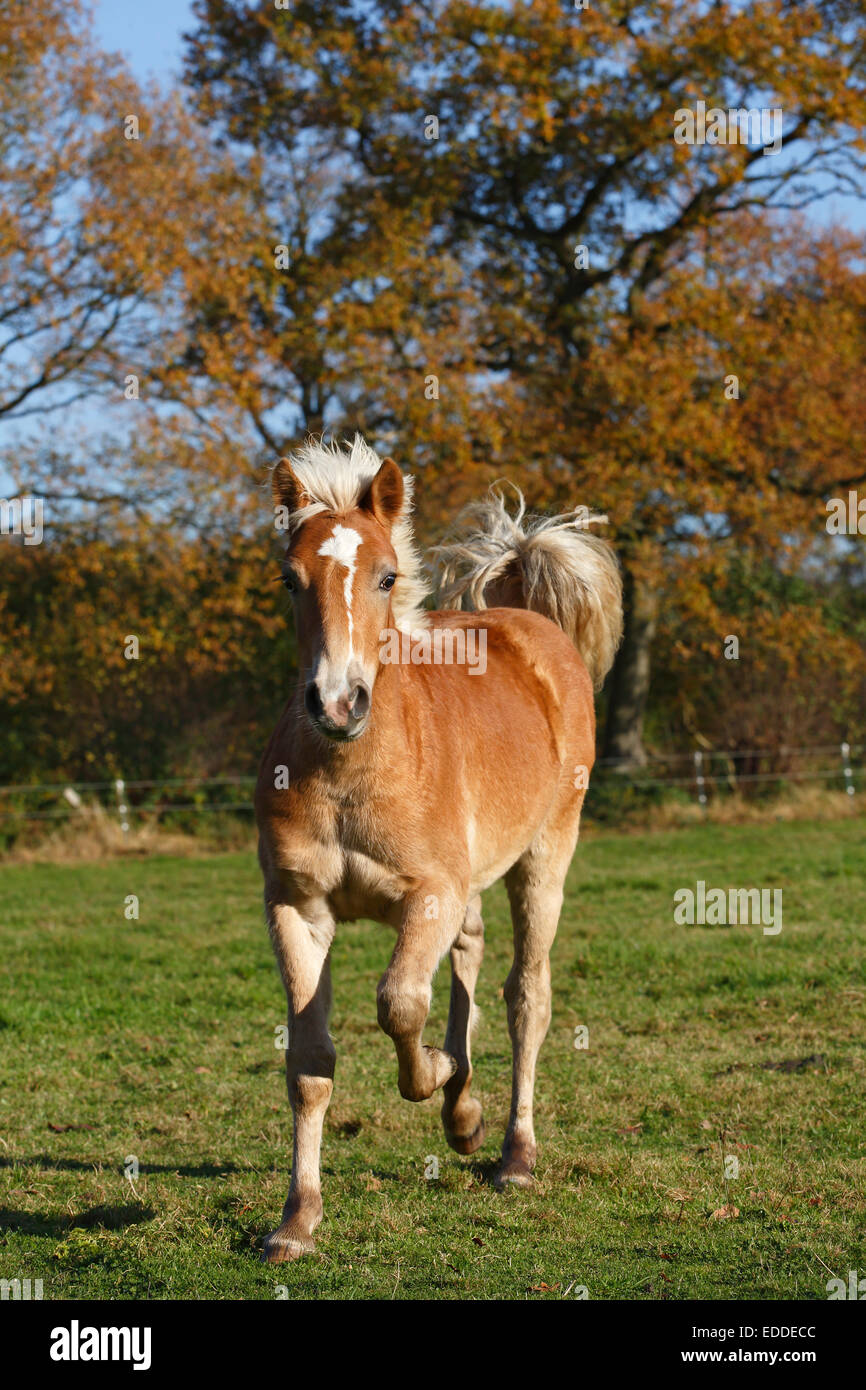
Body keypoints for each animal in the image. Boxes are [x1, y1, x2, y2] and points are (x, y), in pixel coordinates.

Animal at [255, 435, 622, 1262]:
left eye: (388, 575)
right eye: (291, 579)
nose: (336, 703)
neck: (350, 772)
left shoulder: (429, 895)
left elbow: (399, 1004)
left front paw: (436, 1076)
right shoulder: (297, 908)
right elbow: (310, 1062)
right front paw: (297, 1220)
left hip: (544, 858)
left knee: (526, 995)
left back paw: (511, 1152)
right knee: (472, 955)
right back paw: (464, 1113)